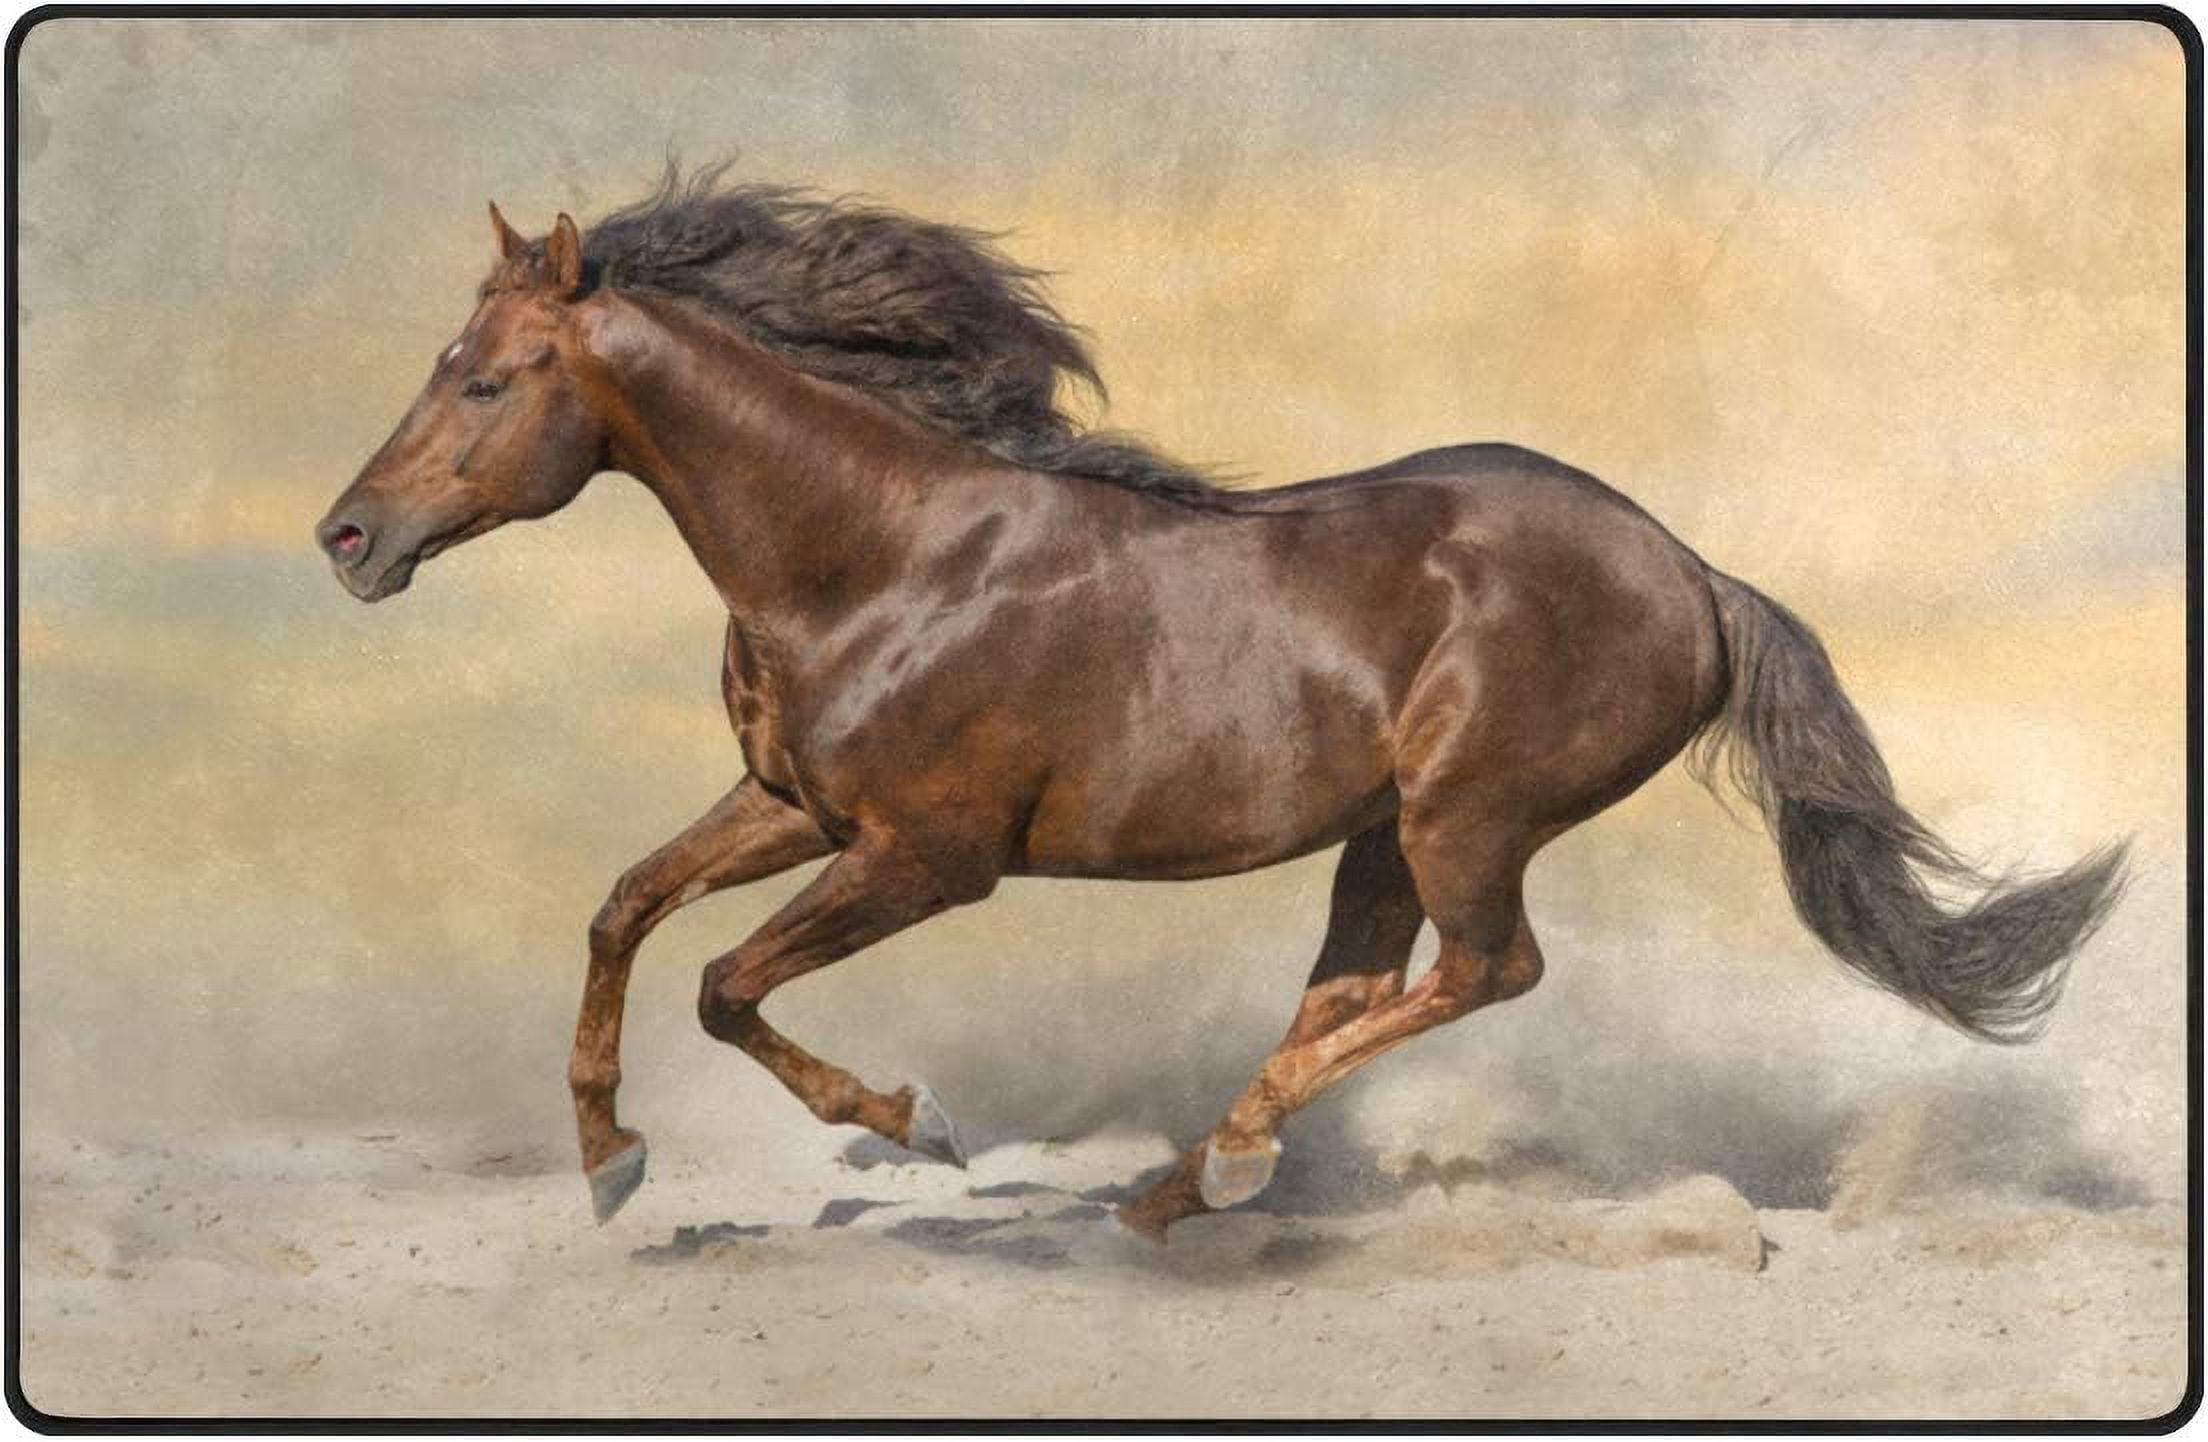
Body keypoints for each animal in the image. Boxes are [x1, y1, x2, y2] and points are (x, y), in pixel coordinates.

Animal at [315, 167, 2126, 1239]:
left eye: (487, 379)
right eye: (440, 361)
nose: (348, 538)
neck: (880, 556)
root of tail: (1690, 570)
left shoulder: (926, 857)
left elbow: (723, 983)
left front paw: (911, 1126)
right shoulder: (790, 806)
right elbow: (626, 909)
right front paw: (608, 1159)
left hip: (1465, 816)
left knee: (1483, 970)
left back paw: (1223, 1161)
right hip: (1381, 831)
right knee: (1363, 985)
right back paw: (1175, 1187)